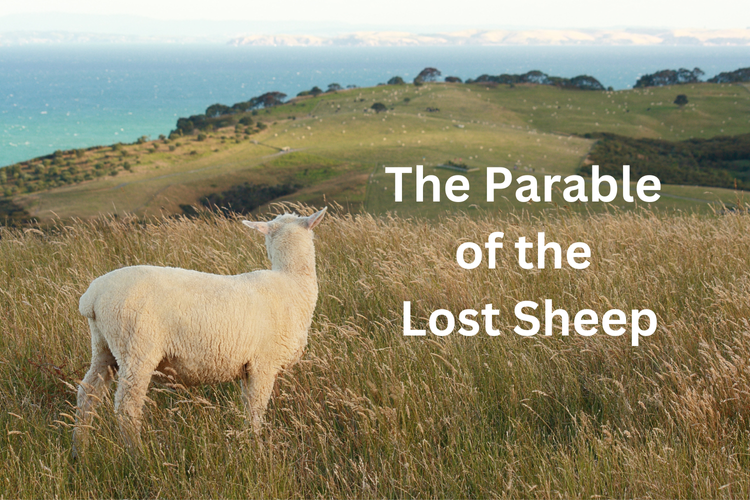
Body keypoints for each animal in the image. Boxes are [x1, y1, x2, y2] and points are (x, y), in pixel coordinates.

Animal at [72, 207, 327, 456]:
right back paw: (138, 455)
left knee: (87, 395)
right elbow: (256, 411)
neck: (292, 281)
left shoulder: (247, 368)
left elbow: (247, 408)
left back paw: (80, 450)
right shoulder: (263, 364)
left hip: (104, 348)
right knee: (126, 408)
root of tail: (92, 297)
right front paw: (257, 450)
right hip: (136, 348)